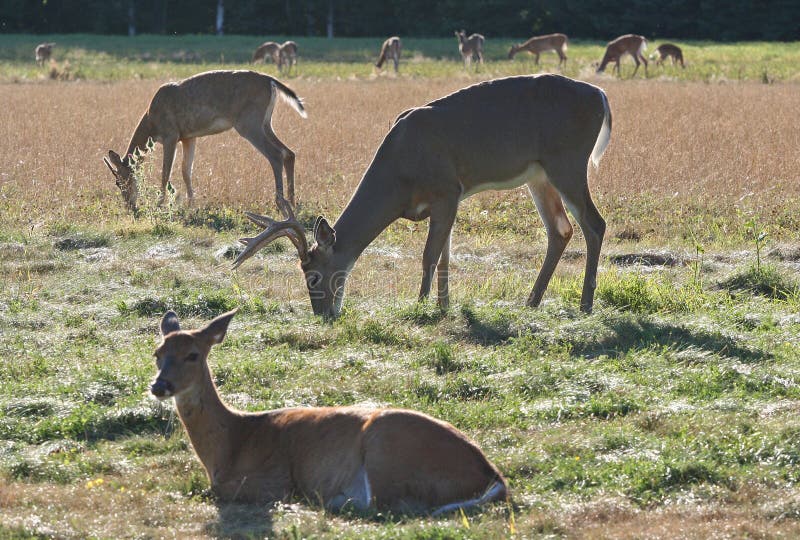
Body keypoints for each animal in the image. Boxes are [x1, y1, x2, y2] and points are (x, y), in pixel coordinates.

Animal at [103, 70, 306, 214]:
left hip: (249, 122)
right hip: (265, 123)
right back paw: (293, 202)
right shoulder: (188, 136)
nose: (130, 205)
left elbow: (166, 172)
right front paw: (191, 204)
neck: (151, 121)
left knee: (276, 155)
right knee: (289, 153)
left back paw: (280, 203)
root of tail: (271, 81)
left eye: (120, 181)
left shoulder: (171, 134)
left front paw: (160, 204)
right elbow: (186, 170)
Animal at [151, 309, 508, 513]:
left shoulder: (271, 480)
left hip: (386, 446)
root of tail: (493, 475)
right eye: (157, 353)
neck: (231, 443)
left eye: (194, 354)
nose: (159, 386)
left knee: (387, 507)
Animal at [233, 74, 611, 318]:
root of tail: (602, 97)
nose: (322, 314)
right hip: (539, 175)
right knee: (561, 229)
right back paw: (531, 301)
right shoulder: (448, 200)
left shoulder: (447, 189)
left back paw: (586, 304)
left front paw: (420, 305)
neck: (399, 175)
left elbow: (429, 255)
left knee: (595, 223)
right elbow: (444, 254)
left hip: (568, 161)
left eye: (311, 273)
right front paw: (444, 305)